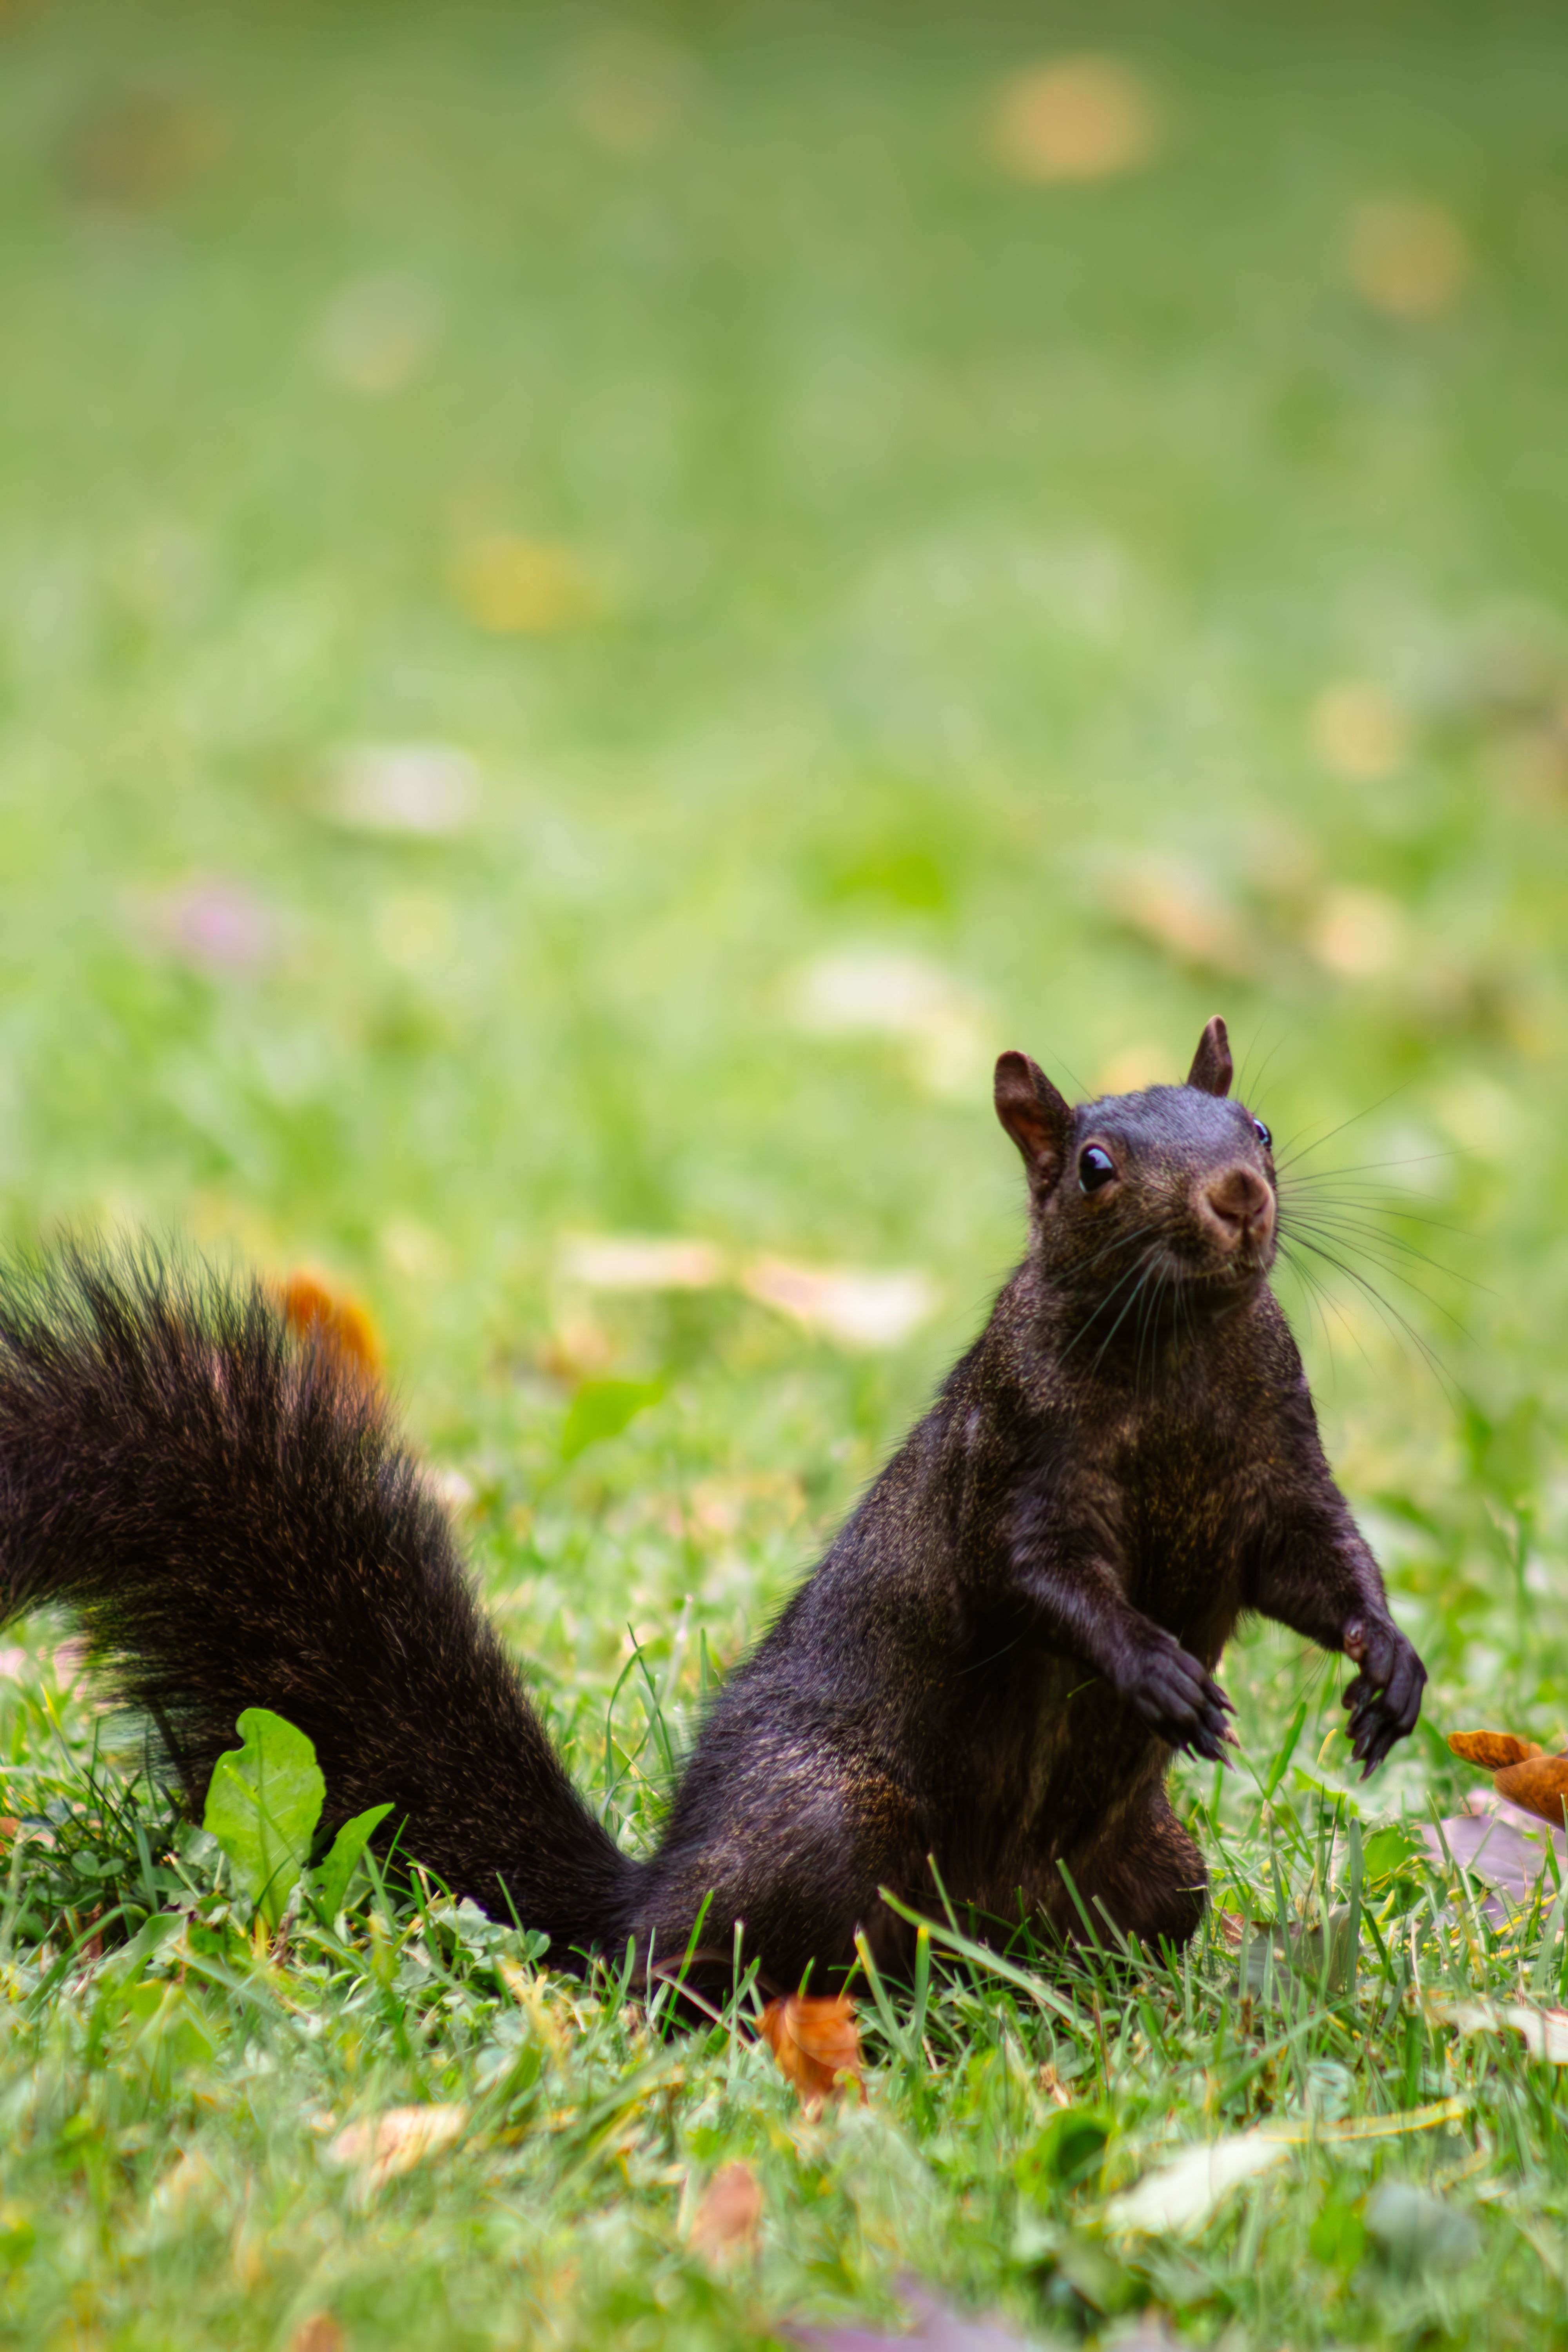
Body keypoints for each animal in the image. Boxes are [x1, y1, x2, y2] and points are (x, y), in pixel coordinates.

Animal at [0, 1016, 1425, 1992]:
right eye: (1093, 1165)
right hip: (826, 1826)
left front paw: (1391, 1673)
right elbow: (1049, 1579)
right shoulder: (1021, 1458)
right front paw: (1157, 1671)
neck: (1178, 1353)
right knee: (682, 1973)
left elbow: (1319, 1568)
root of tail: (650, 1893)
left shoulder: (1274, 1469)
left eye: (1262, 1131)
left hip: (1153, 1869)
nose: (1242, 1197)